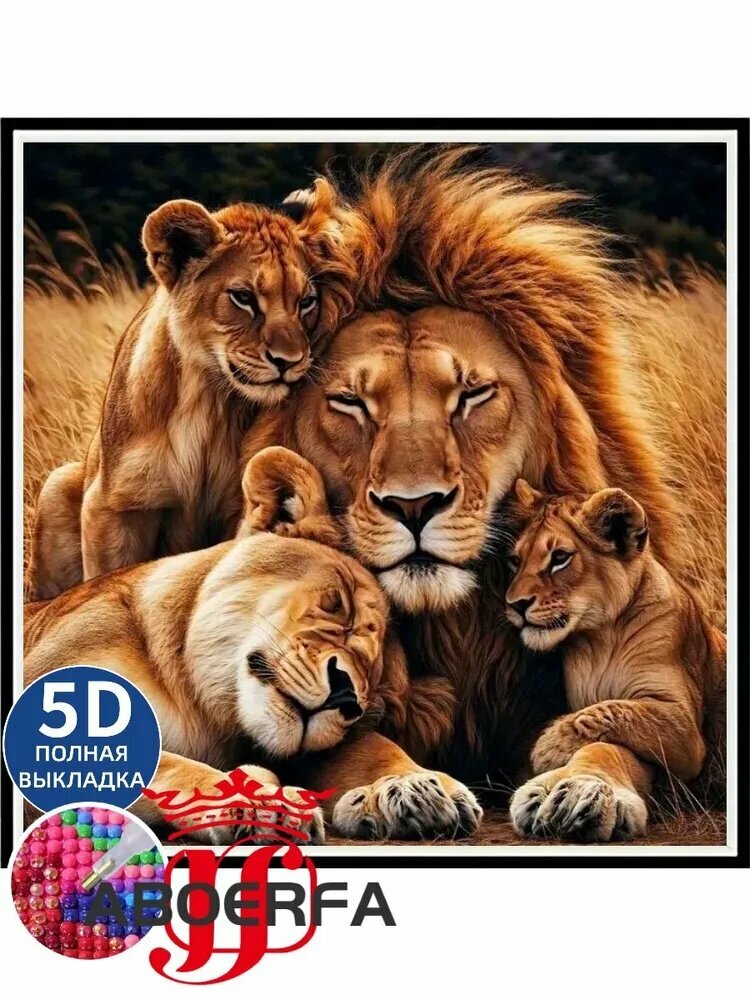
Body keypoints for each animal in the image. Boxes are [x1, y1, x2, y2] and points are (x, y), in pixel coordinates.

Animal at [25, 448, 481, 843]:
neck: (204, 709)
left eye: (375, 672)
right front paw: (262, 803)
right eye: (338, 605)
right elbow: (166, 765)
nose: (346, 696)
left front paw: (414, 786)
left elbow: (374, 746)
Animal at [28, 182, 356, 601]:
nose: (290, 360)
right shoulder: (113, 506)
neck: (208, 399)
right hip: (58, 483)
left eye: (306, 302)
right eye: (243, 297)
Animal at [238, 149, 700, 842]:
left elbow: (616, 737)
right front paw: (401, 788)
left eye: (473, 394)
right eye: (349, 402)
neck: (459, 630)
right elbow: (360, 742)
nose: (413, 505)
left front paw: (580, 788)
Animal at [504, 479, 726, 841]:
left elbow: (612, 709)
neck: (600, 640)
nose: (515, 605)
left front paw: (549, 746)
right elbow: (604, 716)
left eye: (560, 558)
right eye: (515, 560)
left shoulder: (684, 729)